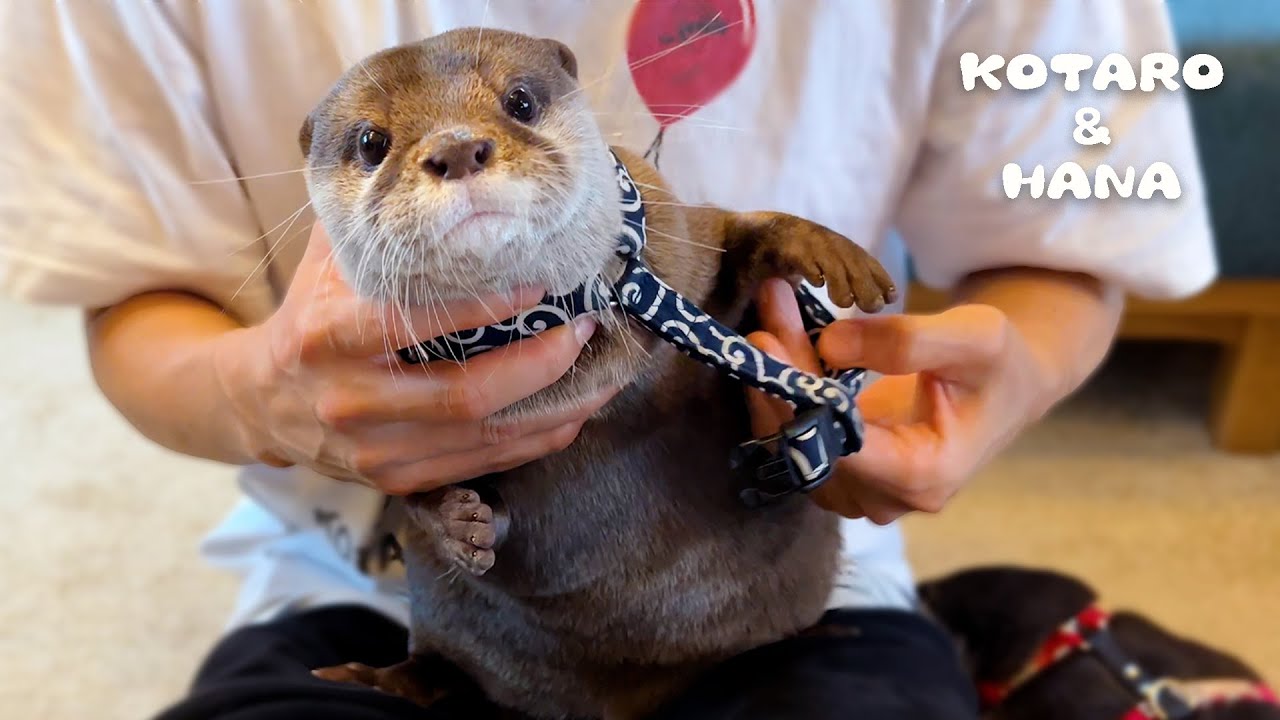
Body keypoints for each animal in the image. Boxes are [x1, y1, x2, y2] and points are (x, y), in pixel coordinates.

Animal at [299, 28, 898, 720]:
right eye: (371, 142)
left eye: (520, 100)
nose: (455, 148)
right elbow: (415, 493)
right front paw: (459, 520)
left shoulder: (686, 242)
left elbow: (741, 244)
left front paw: (826, 250)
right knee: (437, 663)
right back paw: (370, 677)